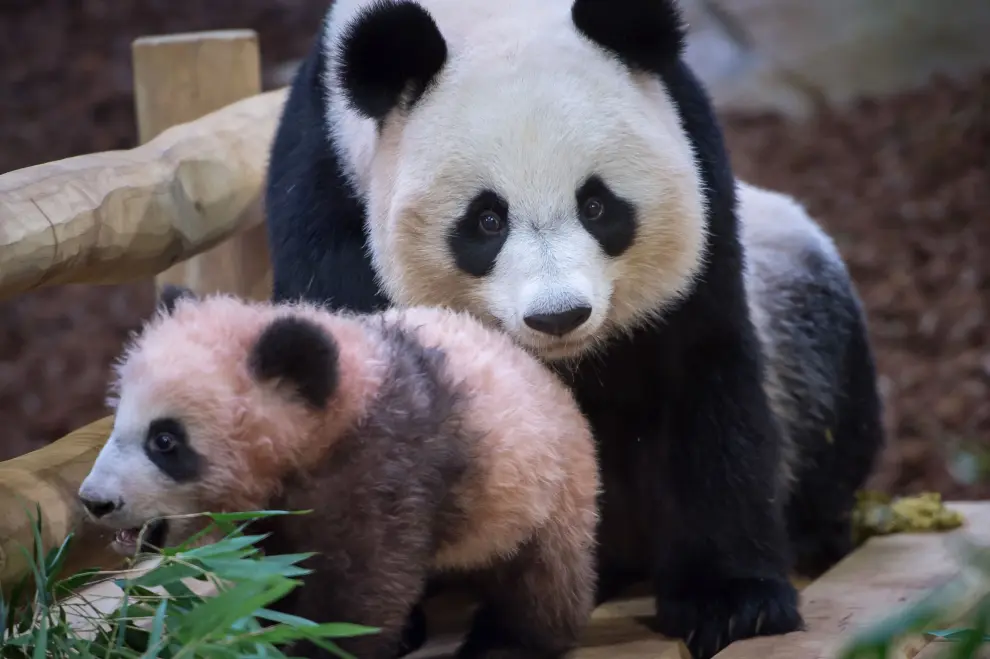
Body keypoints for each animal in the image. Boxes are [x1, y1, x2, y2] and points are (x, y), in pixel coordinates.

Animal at [77, 286, 600, 659]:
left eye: (165, 441)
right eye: (117, 417)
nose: (96, 501)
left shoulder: (385, 463)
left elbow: (358, 593)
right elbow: (275, 575)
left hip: (537, 493)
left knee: (538, 581)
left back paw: (508, 643)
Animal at [263, 0, 885, 657]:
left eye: (597, 205)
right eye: (486, 219)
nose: (558, 316)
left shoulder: (699, 167)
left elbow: (700, 367)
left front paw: (732, 603)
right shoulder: (326, 194)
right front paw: (357, 616)